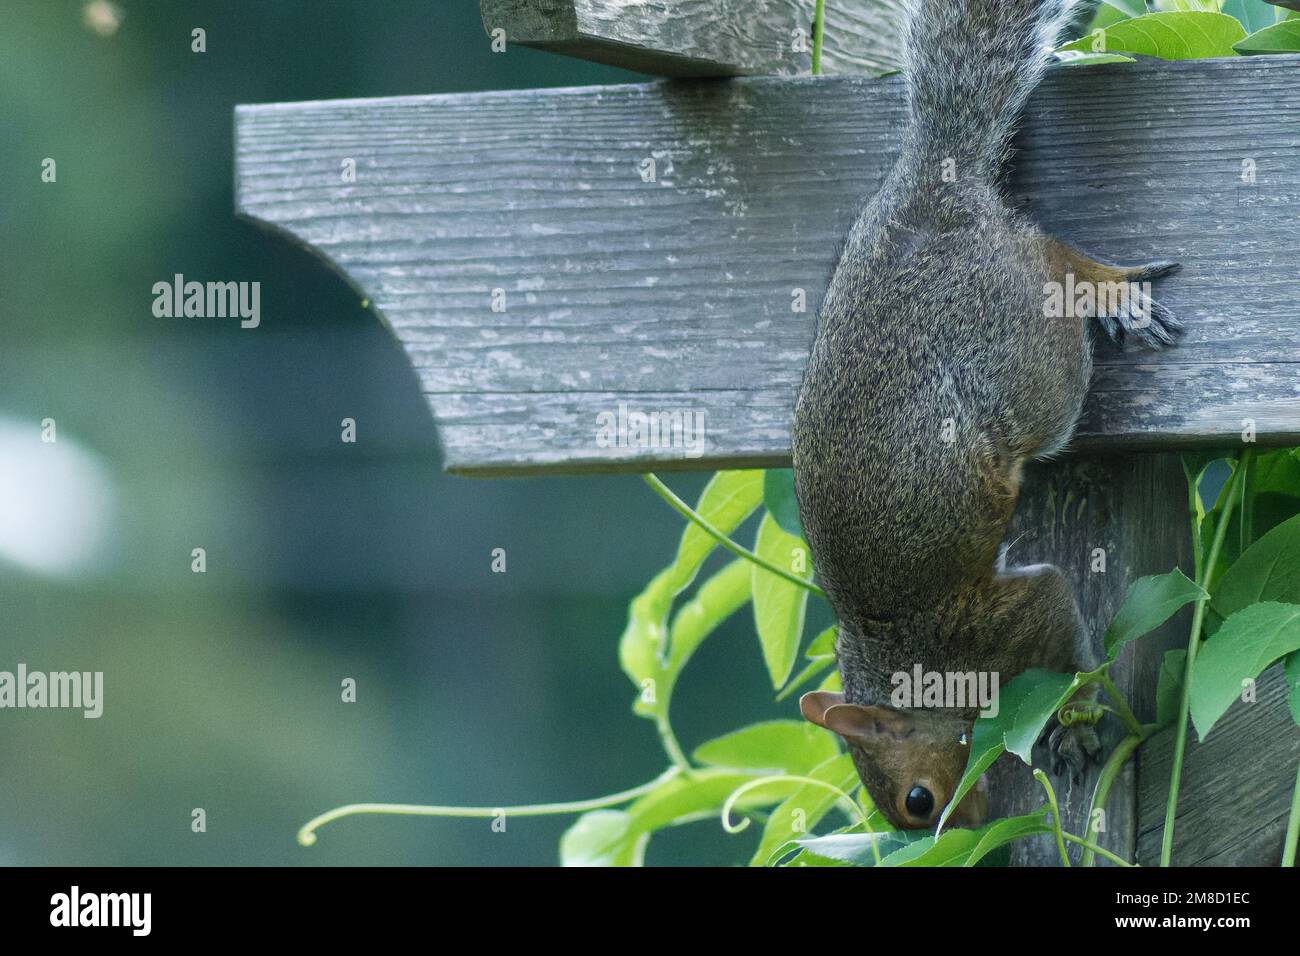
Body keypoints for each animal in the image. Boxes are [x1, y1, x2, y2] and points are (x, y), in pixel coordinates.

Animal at [792, 0, 1181, 831]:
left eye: (917, 801)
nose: (967, 830)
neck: (905, 668)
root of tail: (935, 189)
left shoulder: (999, 629)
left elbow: (1067, 640)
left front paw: (1076, 725)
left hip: (1030, 361)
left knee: (1048, 254)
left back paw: (1106, 288)